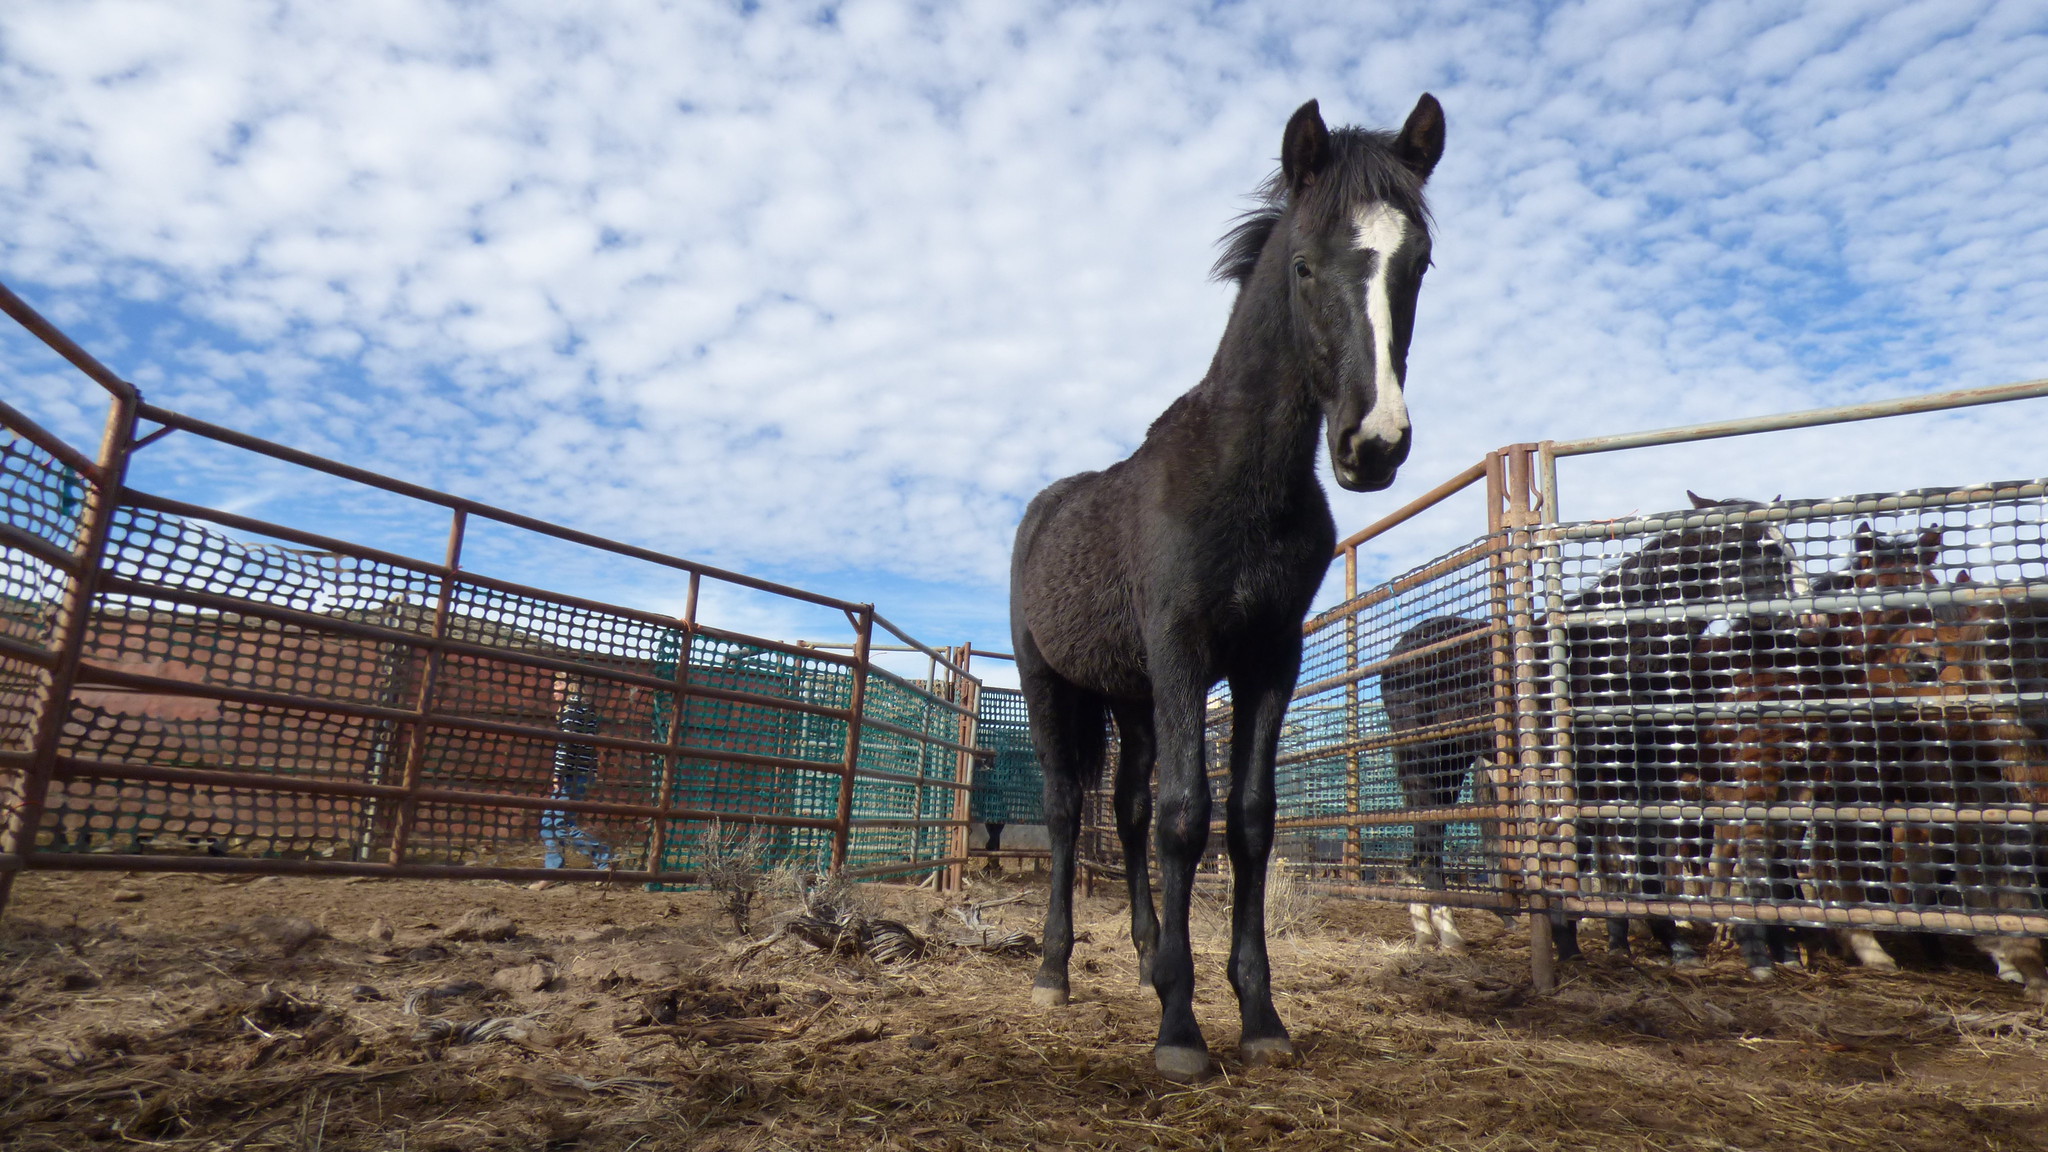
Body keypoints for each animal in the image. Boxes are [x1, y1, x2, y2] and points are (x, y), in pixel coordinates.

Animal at [1011, 95, 1445, 1080]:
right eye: (1304, 265)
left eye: (1419, 264)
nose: (1374, 443)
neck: (1244, 480)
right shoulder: (1182, 648)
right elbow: (1187, 817)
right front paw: (1181, 1030)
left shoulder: (1266, 660)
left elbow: (1246, 821)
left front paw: (1258, 1015)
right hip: (1048, 683)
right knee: (1066, 812)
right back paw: (1054, 972)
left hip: (1129, 700)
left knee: (1125, 812)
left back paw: (1143, 958)